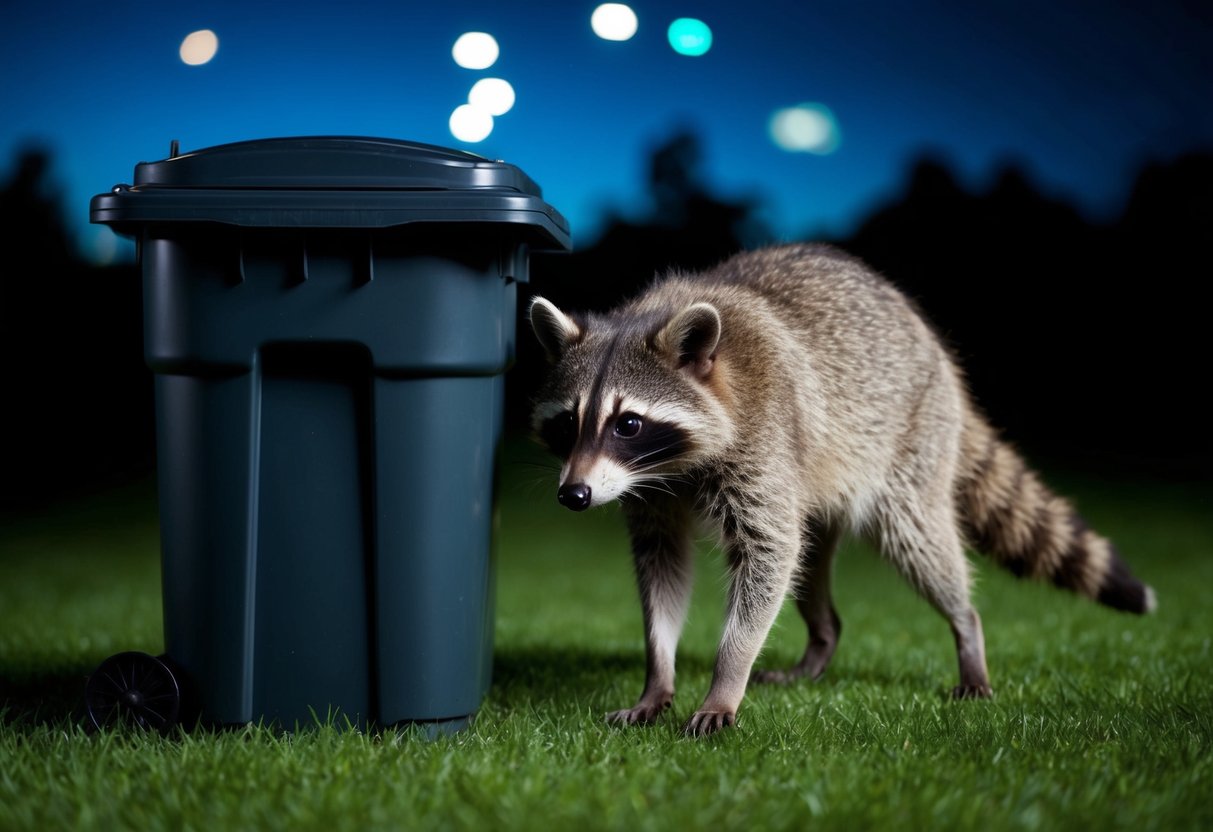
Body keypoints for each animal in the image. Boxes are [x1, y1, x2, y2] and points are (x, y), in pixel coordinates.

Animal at [528, 243, 1155, 736]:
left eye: (628, 423)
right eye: (567, 423)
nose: (574, 495)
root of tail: (935, 349)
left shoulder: (764, 440)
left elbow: (767, 554)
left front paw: (727, 678)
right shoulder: (650, 494)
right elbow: (664, 567)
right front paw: (657, 676)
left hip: (912, 440)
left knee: (918, 543)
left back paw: (967, 632)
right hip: (820, 487)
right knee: (806, 565)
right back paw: (822, 640)